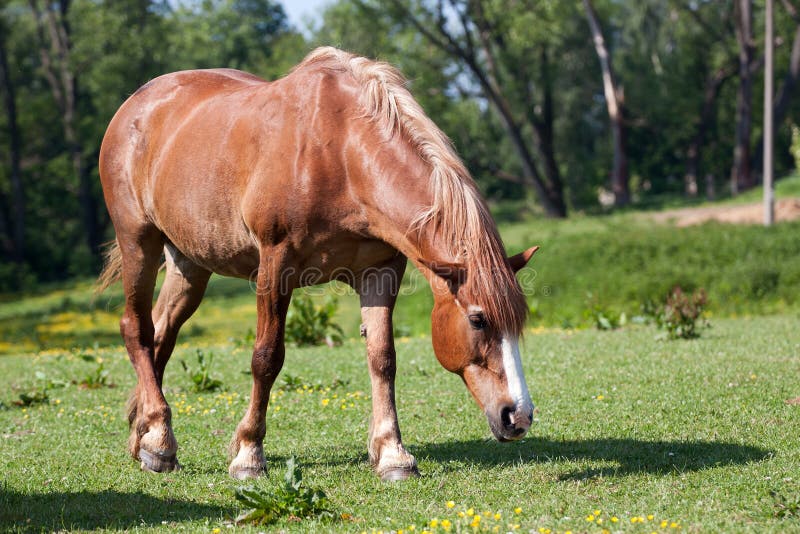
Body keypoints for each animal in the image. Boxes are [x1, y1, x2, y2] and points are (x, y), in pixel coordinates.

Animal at [97, 47, 538, 481]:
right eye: (479, 319)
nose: (518, 416)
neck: (341, 154)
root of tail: (136, 103)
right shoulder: (276, 264)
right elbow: (266, 358)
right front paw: (249, 454)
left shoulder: (380, 271)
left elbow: (383, 359)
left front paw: (393, 454)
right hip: (139, 241)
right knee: (137, 329)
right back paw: (159, 439)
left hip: (190, 264)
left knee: (162, 336)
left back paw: (147, 438)